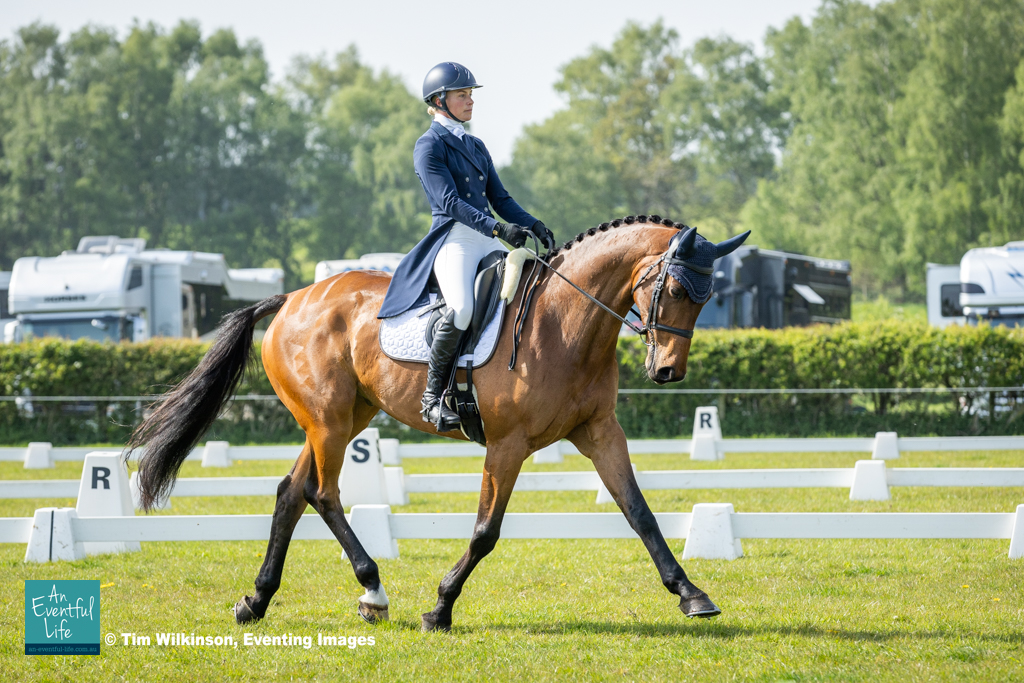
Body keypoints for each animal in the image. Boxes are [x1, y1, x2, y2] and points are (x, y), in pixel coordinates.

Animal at [127, 215, 749, 632]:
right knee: (321, 493)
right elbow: (484, 533)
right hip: (328, 421)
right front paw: (440, 608)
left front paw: (692, 594)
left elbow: (640, 514)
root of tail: (292, 299)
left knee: (291, 492)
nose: (667, 371)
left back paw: (256, 601)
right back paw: (372, 591)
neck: (564, 324)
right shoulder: (507, 444)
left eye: (708, 297)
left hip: (343, 417)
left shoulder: (600, 432)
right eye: (674, 289)